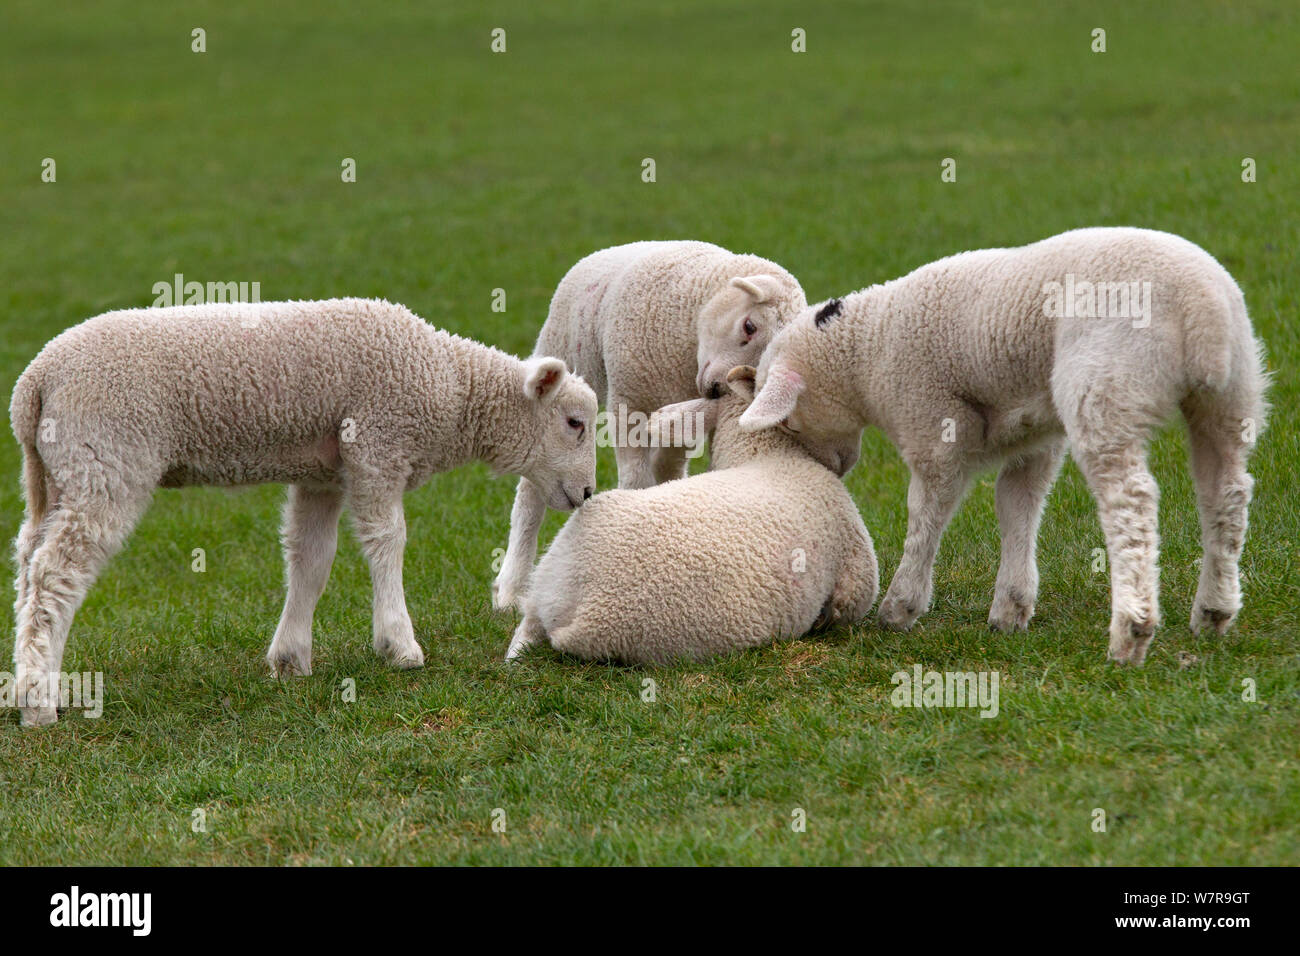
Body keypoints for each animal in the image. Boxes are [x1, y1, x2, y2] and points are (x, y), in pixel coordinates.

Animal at [9, 297, 598, 726]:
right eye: (574, 423)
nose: (589, 493)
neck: (450, 386)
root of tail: (35, 382)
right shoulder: (378, 442)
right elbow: (388, 541)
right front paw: (398, 645)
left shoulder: (323, 473)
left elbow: (311, 560)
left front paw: (290, 658)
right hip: (105, 461)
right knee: (56, 573)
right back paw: (39, 704)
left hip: (55, 475)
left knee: (27, 563)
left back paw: (24, 685)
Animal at [492, 240, 807, 612]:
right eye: (749, 326)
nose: (717, 389)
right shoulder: (628, 402)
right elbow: (636, 479)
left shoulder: (687, 412)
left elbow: (669, 470)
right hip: (564, 353)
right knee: (529, 494)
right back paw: (510, 589)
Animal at [504, 366, 878, 665]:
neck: (765, 454)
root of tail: (586, 610)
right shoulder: (858, 572)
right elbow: (847, 604)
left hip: (551, 570)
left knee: (526, 627)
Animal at [741, 227, 1269, 665]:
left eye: (790, 421)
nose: (836, 469)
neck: (867, 350)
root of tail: (1201, 307)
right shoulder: (1033, 440)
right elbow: (1017, 507)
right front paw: (1011, 608)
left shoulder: (932, 426)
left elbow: (925, 517)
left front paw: (901, 607)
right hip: (1233, 393)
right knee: (1226, 492)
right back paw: (1214, 610)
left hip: (1109, 384)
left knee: (1131, 500)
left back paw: (1131, 631)